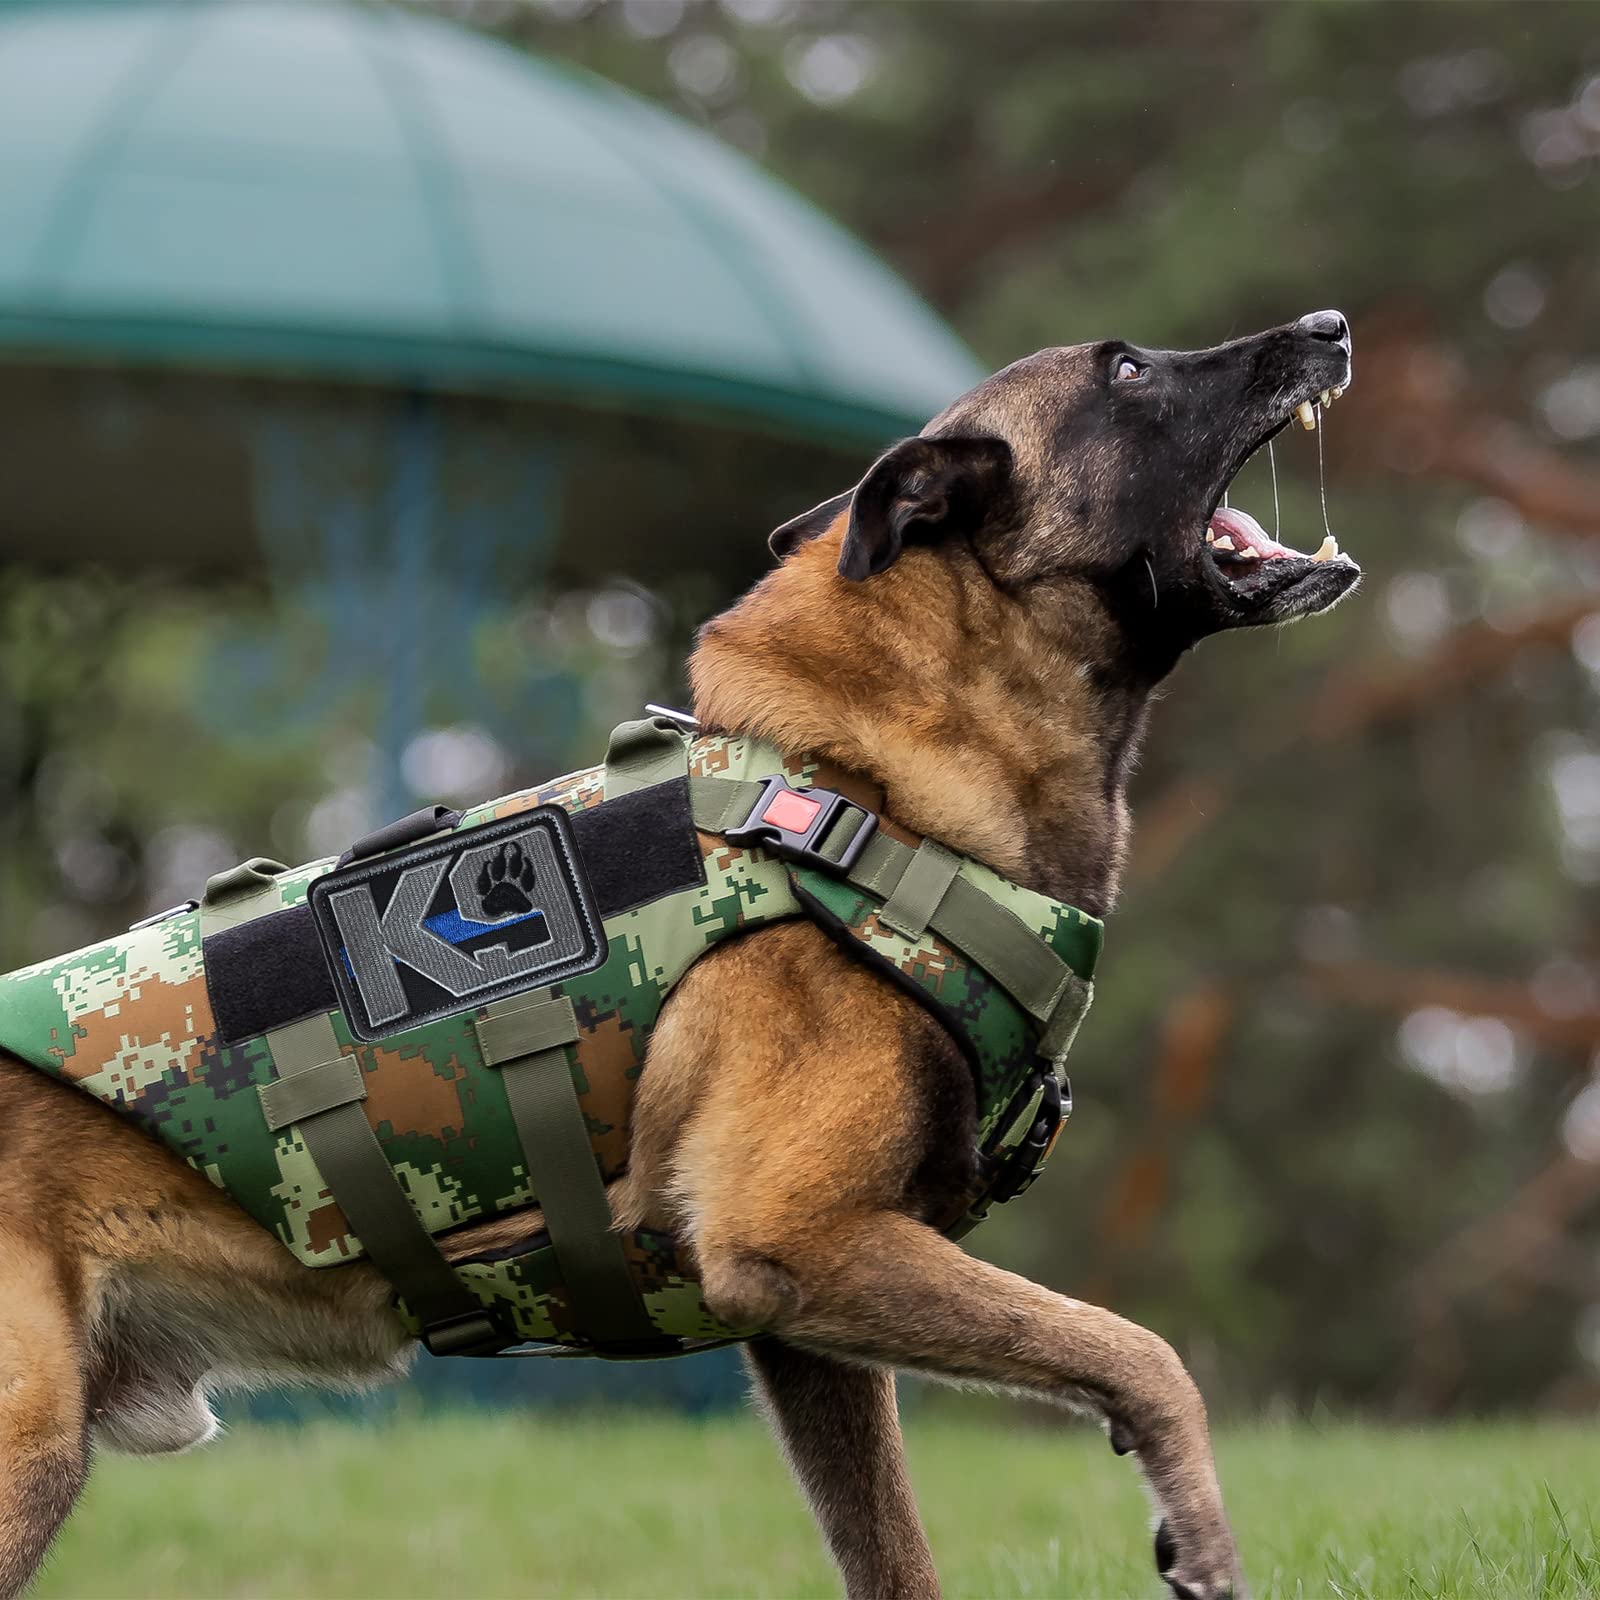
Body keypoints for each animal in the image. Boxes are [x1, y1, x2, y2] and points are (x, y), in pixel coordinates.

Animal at [0, 310, 1357, 1600]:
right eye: (1127, 371)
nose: (1332, 326)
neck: (858, 794)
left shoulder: (809, 1333)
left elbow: (896, 1556)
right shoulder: (793, 1238)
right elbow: (1147, 1353)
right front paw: (1198, 1531)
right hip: (29, 1461)